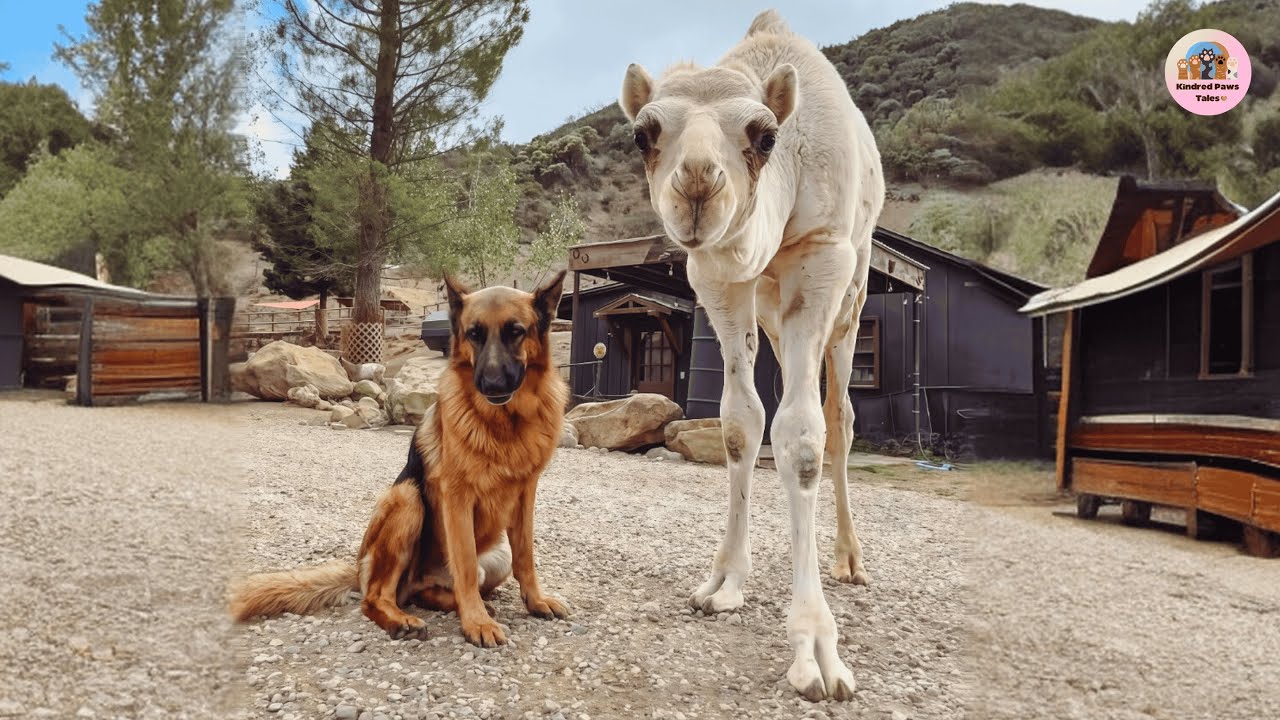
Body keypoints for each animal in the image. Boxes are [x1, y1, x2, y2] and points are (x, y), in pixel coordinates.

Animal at [618, 9, 883, 701]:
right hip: (773, 309)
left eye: (764, 136)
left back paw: (850, 560)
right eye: (643, 134)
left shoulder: (822, 257)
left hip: (852, 297)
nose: (697, 184)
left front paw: (816, 651)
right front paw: (723, 583)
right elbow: (741, 422)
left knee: (840, 417)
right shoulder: (719, 279)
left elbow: (802, 436)